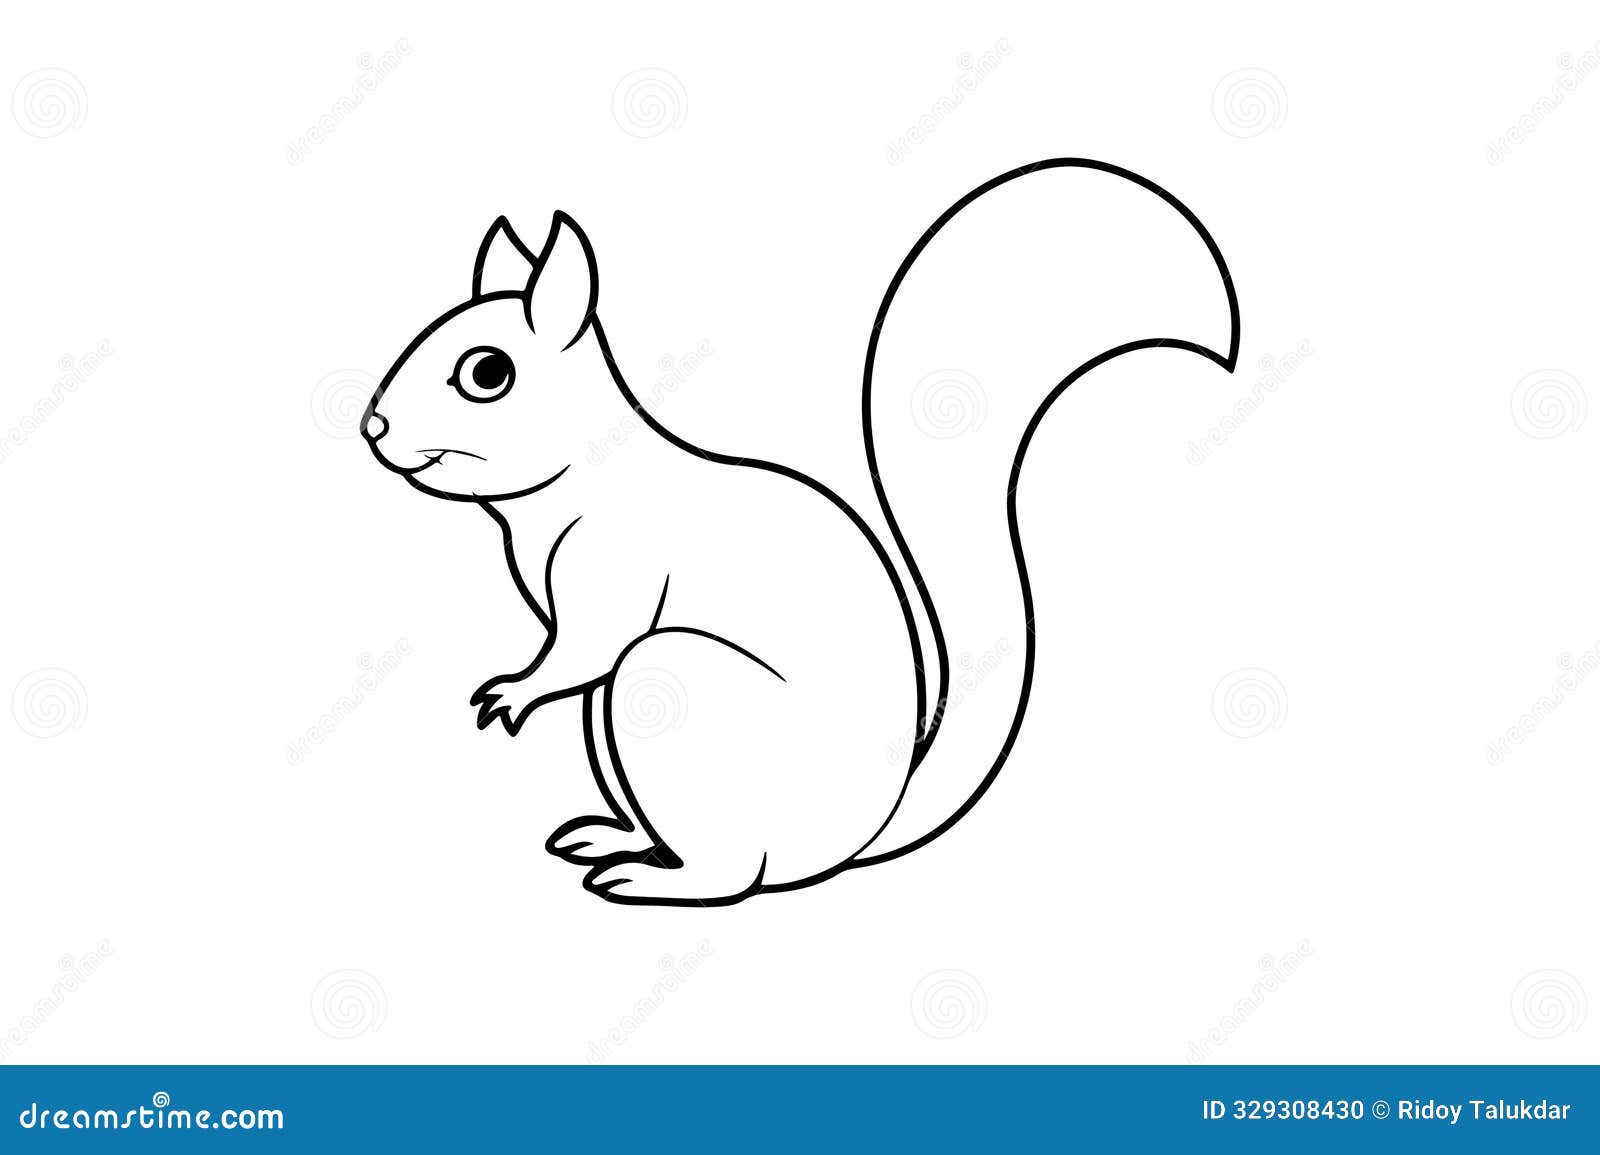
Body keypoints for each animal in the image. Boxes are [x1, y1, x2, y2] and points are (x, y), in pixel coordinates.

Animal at [360, 159, 1239, 906]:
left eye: (488, 372)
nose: (372, 426)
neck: (580, 477)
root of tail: (859, 837)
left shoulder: (615, 568)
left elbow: (586, 644)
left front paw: (516, 689)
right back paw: (617, 839)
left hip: (674, 685)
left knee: (735, 873)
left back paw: (653, 879)